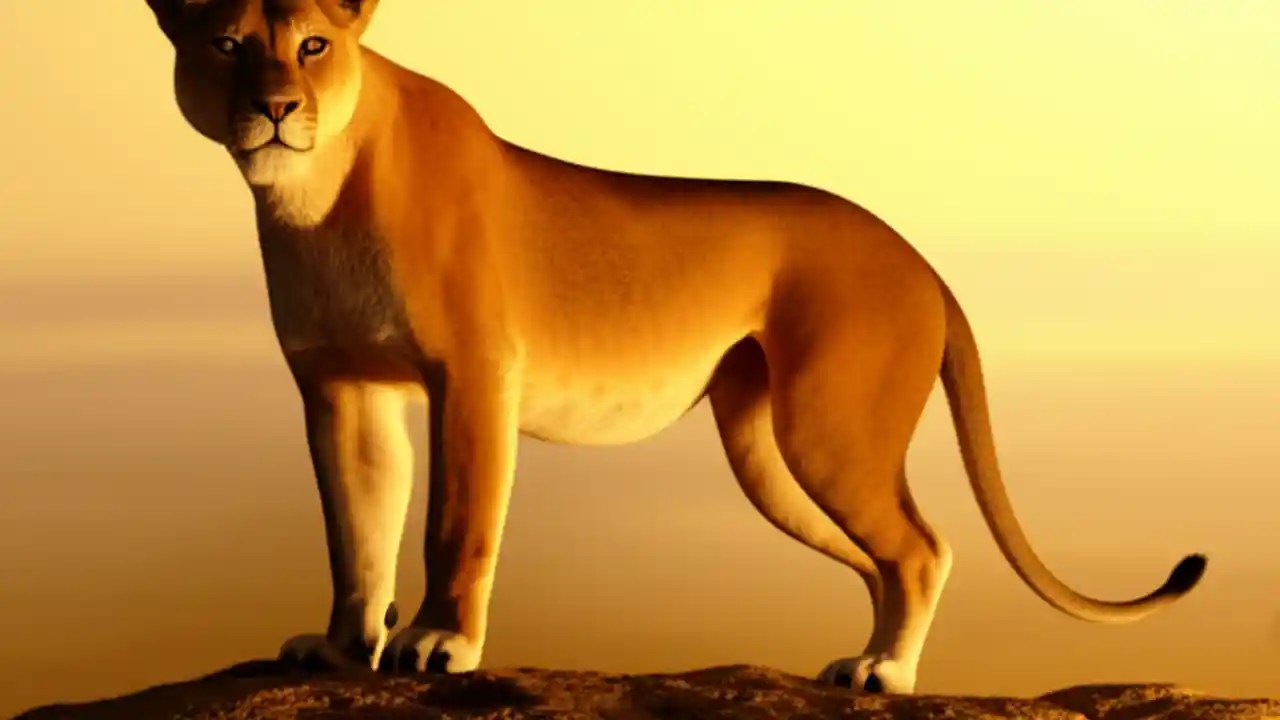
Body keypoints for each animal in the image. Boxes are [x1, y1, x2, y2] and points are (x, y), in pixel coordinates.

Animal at [144, 0, 1206, 694]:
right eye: (227, 44)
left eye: (313, 46)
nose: (276, 107)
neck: (310, 196)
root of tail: (918, 257)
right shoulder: (341, 388)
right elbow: (354, 531)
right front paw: (339, 648)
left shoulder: (475, 376)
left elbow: (455, 522)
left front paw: (439, 645)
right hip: (767, 452)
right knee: (883, 558)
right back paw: (859, 660)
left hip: (828, 428)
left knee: (919, 547)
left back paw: (884, 673)